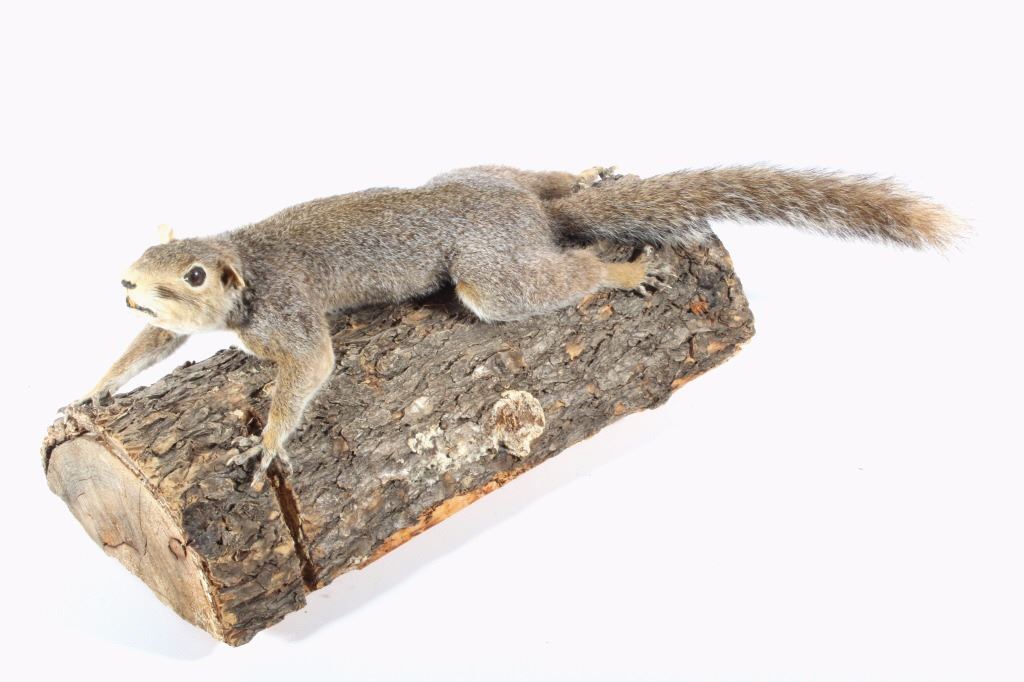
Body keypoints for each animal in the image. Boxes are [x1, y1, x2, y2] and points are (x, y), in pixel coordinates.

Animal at [77, 164, 960, 490]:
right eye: (143, 263)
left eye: (187, 277)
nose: (123, 288)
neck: (247, 266)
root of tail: (533, 218)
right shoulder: (176, 332)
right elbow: (153, 348)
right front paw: (92, 391)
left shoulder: (292, 315)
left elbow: (310, 371)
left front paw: (265, 445)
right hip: (491, 181)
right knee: (535, 174)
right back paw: (580, 173)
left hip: (490, 278)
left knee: (547, 276)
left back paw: (617, 272)